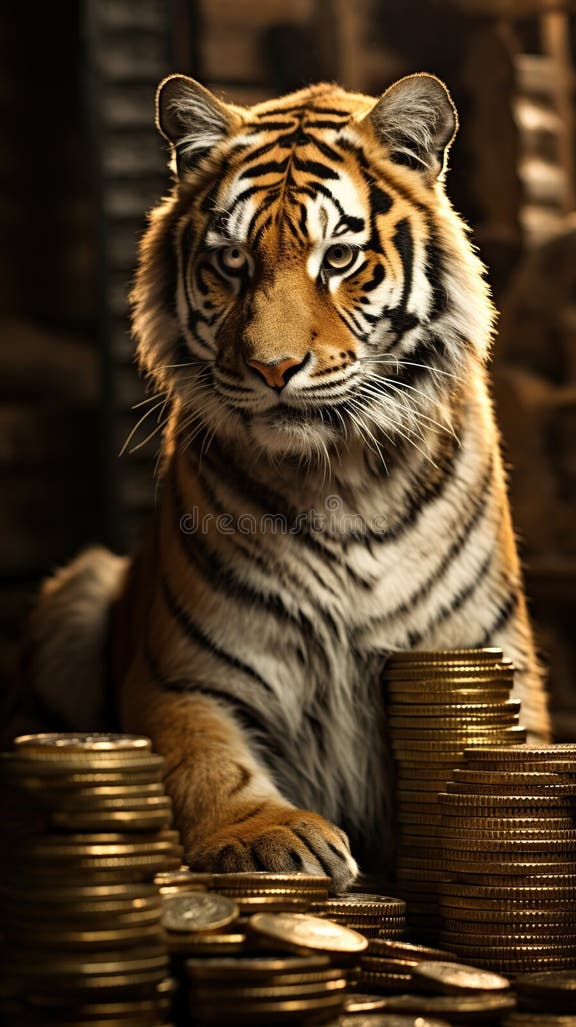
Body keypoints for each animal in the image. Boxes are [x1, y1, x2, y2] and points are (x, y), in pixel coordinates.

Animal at [23, 72, 551, 891]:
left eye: (338, 258)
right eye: (232, 261)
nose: (273, 369)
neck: (342, 481)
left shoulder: (496, 655)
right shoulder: (184, 679)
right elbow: (203, 763)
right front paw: (265, 834)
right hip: (75, 596)